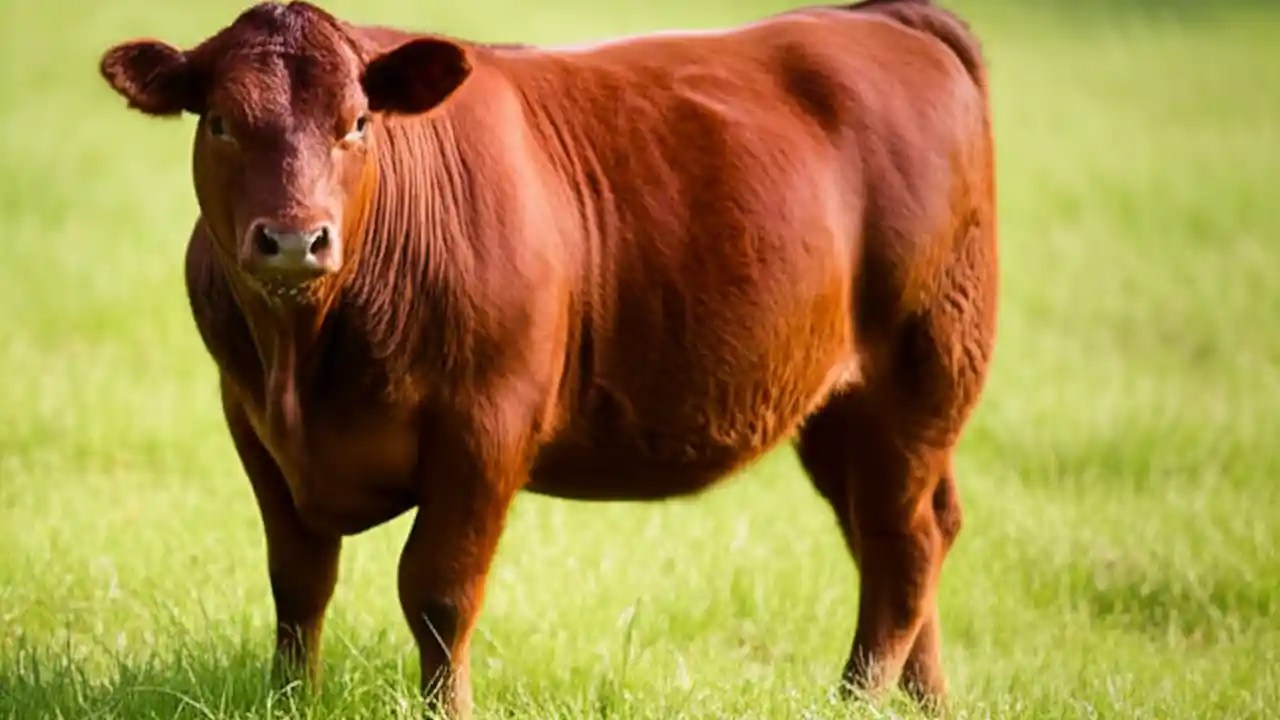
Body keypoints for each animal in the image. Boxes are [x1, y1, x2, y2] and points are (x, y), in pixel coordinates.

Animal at [99, 0, 996, 715]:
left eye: (356, 123)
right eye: (220, 121)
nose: (293, 240)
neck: (305, 360)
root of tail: (877, 17)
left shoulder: (485, 428)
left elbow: (438, 590)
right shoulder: (253, 425)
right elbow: (297, 581)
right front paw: (290, 701)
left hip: (920, 376)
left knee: (904, 542)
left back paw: (857, 697)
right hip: (842, 409)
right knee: (898, 533)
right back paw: (925, 699)